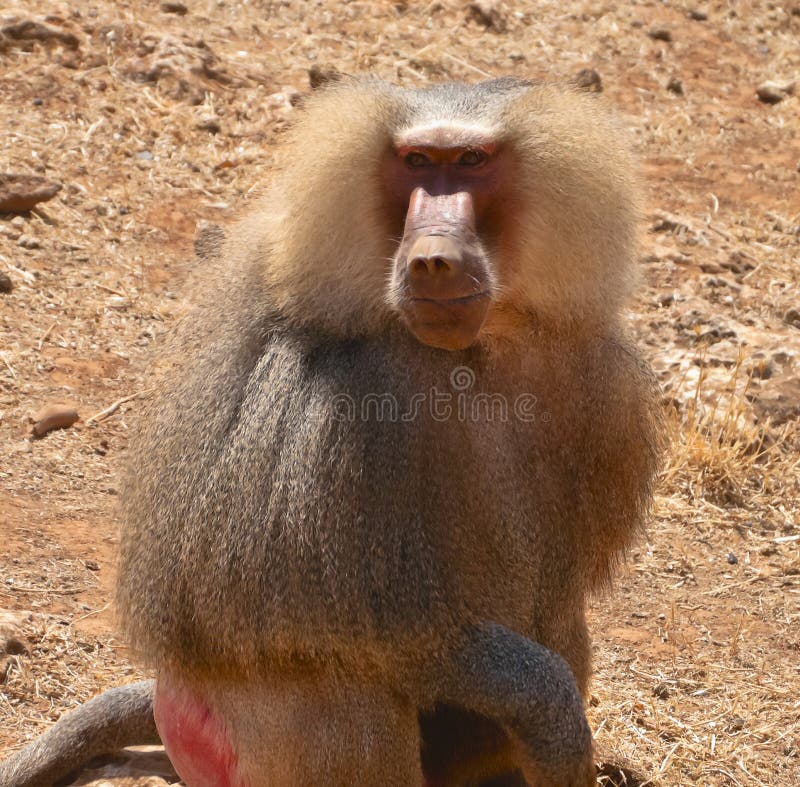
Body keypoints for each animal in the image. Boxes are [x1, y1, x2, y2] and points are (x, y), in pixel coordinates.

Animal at [0, 76, 661, 787]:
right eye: (417, 163)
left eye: (470, 162)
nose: (433, 259)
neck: (473, 350)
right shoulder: (318, 409)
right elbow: (330, 618)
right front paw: (549, 709)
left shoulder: (596, 383)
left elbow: (556, 605)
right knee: (340, 689)